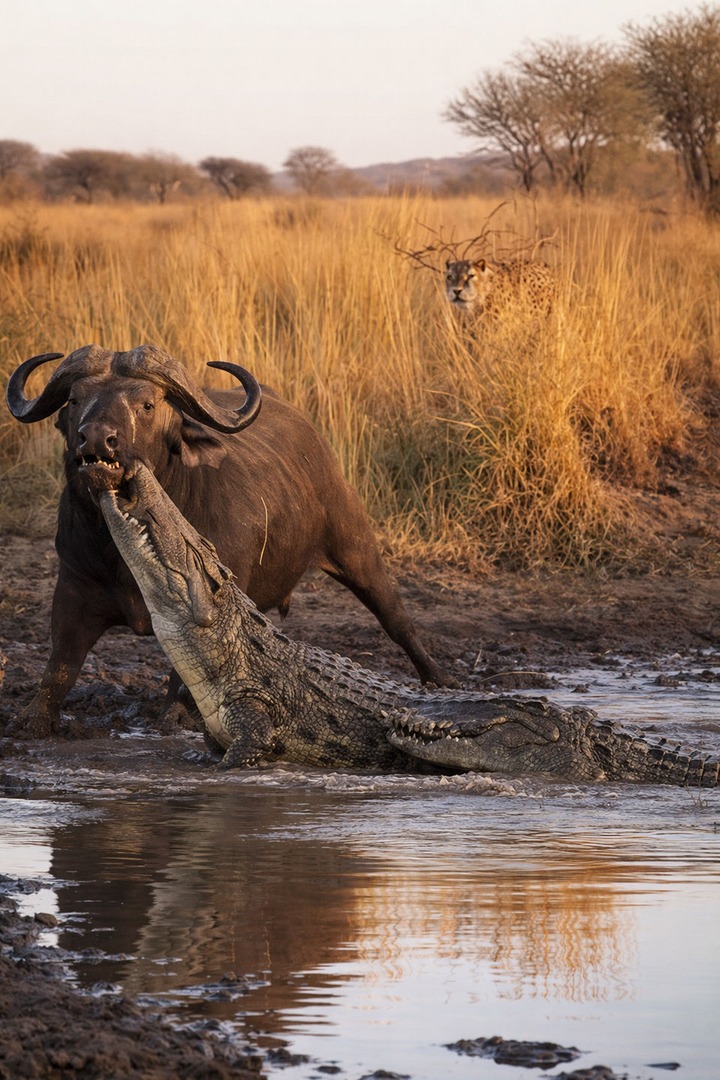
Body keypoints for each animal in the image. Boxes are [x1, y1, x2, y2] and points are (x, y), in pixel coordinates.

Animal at [5, 344, 448, 736]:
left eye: (147, 405)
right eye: (75, 399)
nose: (97, 438)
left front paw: (175, 717)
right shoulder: (73, 588)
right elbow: (61, 664)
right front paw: (34, 719)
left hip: (354, 544)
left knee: (396, 618)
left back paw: (441, 681)